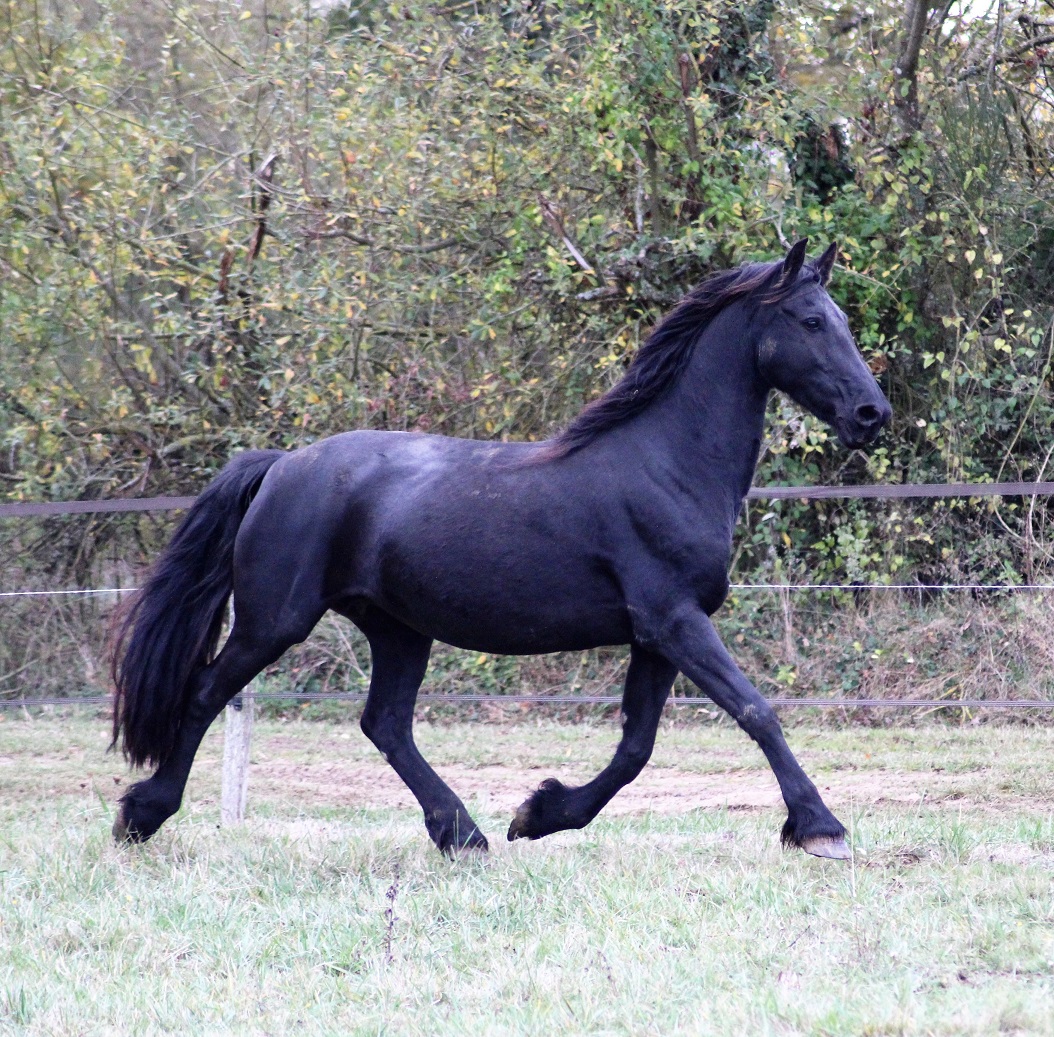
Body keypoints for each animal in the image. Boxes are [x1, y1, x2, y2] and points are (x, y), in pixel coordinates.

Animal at [111, 239, 891, 859]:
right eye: (813, 321)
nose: (871, 414)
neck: (667, 463)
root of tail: (278, 465)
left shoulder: (657, 634)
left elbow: (635, 747)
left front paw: (539, 813)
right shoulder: (674, 621)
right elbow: (756, 711)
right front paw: (821, 828)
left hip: (397, 628)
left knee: (384, 724)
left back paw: (463, 833)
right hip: (274, 620)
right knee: (207, 691)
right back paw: (141, 814)